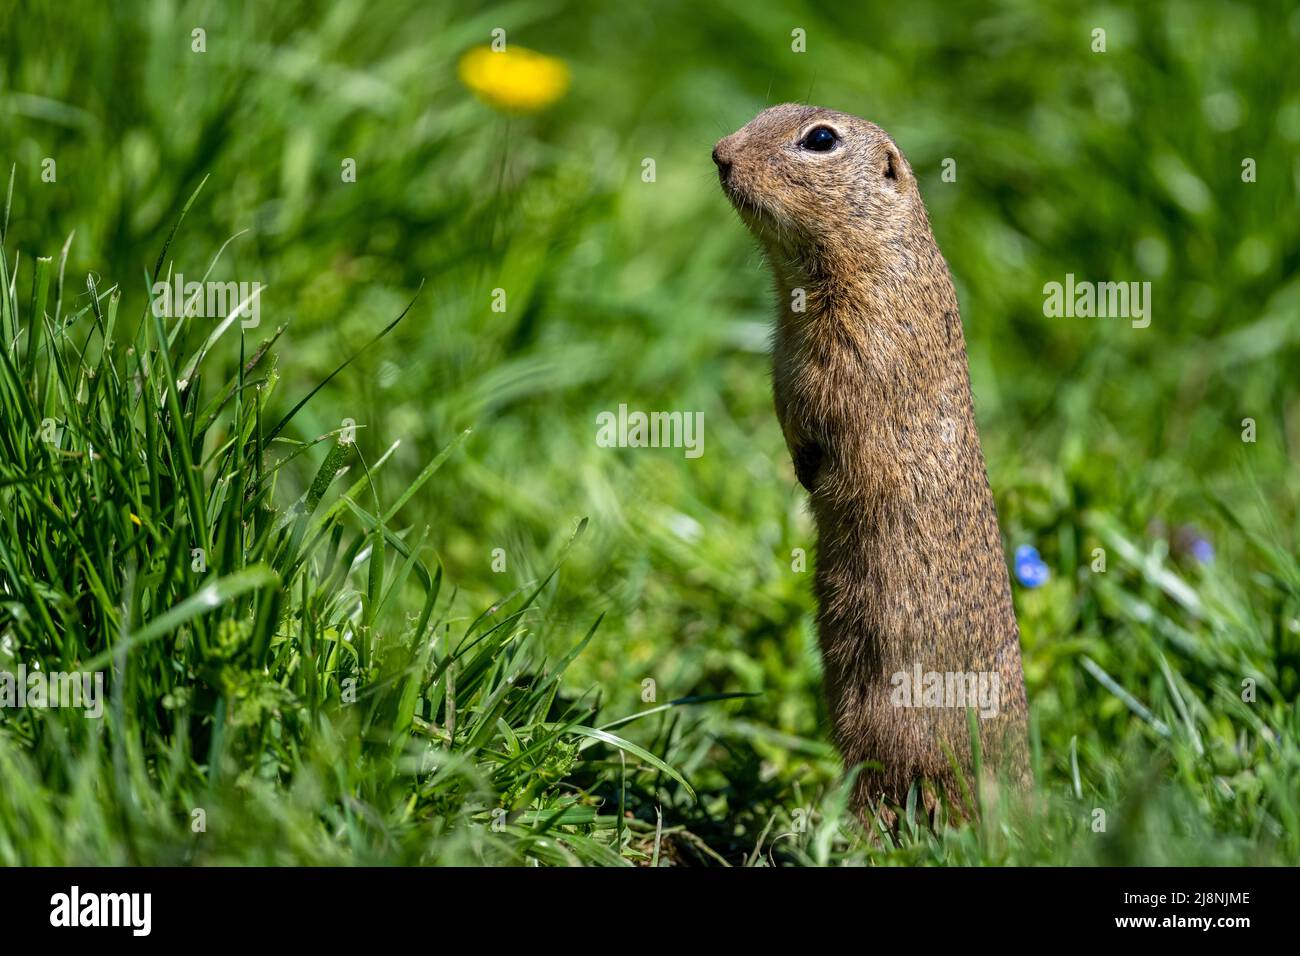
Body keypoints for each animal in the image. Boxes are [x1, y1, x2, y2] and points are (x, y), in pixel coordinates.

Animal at [714, 104, 1029, 816]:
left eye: (820, 139)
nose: (719, 153)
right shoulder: (785, 352)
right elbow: (784, 396)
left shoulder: (862, 343)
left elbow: (827, 402)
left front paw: (812, 467)